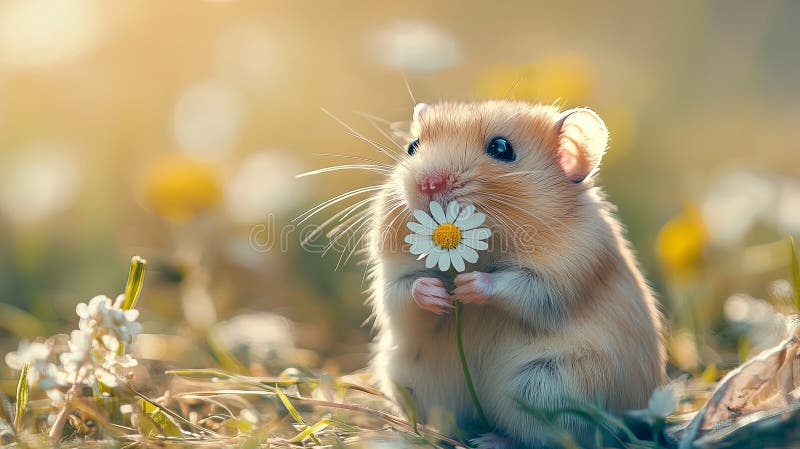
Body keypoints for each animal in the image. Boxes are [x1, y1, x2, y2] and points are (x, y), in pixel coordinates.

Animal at [366, 101, 665, 449]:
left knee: (546, 437)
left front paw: (467, 287)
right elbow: (403, 294)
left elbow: (518, 286)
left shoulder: (565, 275)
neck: (483, 248)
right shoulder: (391, 279)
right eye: (412, 147)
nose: (427, 184)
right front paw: (437, 292)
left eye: (502, 149)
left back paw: (490, 440)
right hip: (411, 378)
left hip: (547, 386)